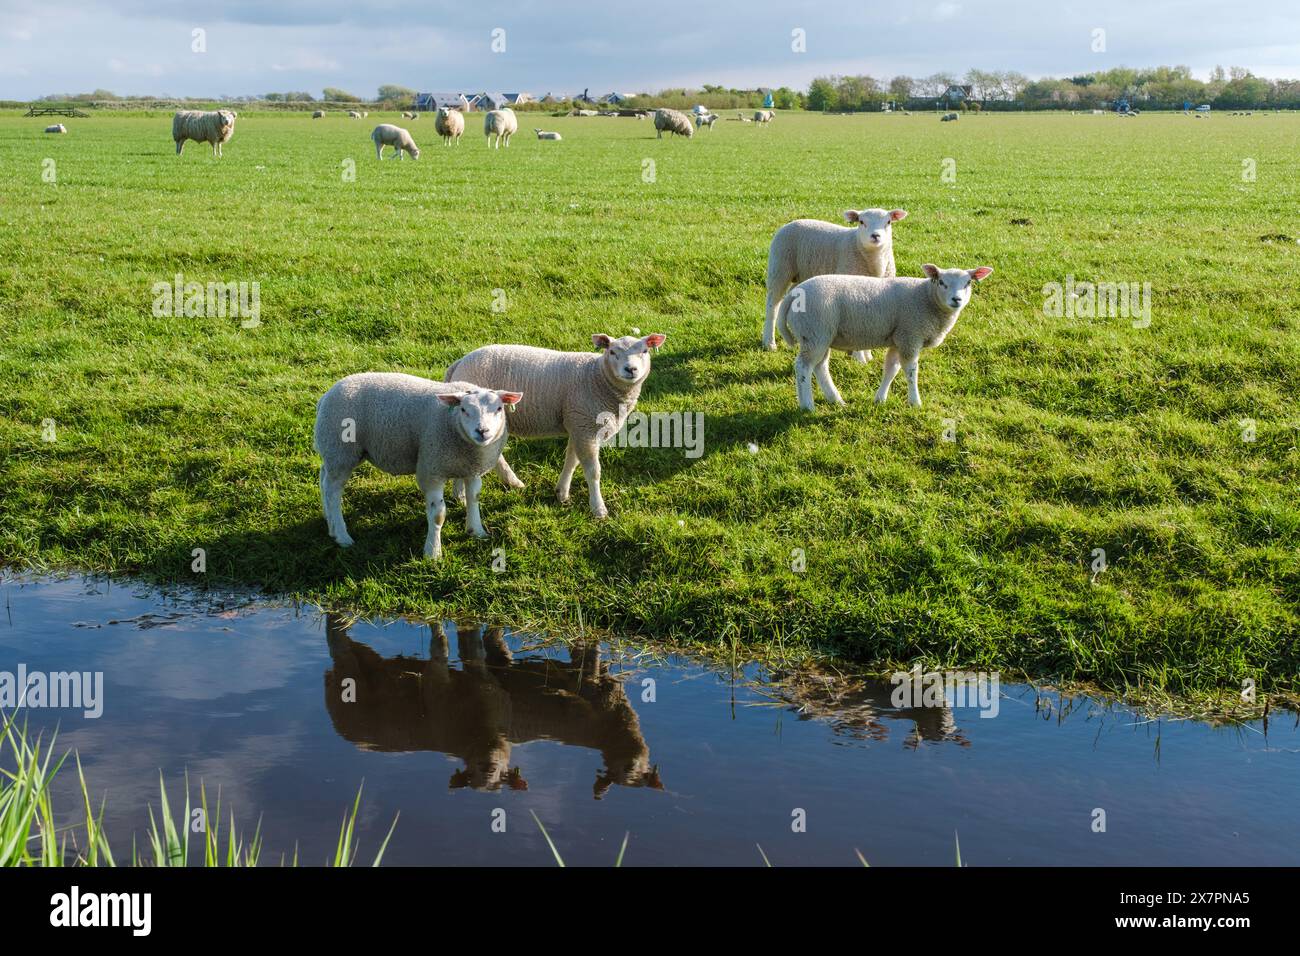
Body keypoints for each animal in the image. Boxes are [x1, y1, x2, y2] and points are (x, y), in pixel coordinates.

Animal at [313, 373, 523, 559]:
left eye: (499, 408)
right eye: (464, 410)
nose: (482, 431)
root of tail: (325, 397)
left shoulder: (471, 469)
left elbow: (474, 499)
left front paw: (476, 531)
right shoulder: (430, 469)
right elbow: (437, 514)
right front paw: (433, 553)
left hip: (335, 453)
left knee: (324, 479)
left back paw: (329, 522)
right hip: (341, 451)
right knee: (332, 492)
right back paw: (342, 535)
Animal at [445, 333, 666, 518]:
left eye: (645, 351)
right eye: (612, 352)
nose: (631, 369)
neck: (597, 377)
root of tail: (458, 363)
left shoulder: (578, 424)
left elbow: (571, 461)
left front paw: (562, 493)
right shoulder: (584, 425)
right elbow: (593, 471)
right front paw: (598, 509)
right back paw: (476, 491)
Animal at [764, 207, 909, 360]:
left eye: (888, 222)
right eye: (861, 221)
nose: (875, 236)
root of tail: (792, 222)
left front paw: (867, 355)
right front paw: (859, 358)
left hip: (803, 274)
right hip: (780, 268)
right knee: (772, 305)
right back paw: (769, 342)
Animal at [778, 264, 993, 410]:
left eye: (968, 283)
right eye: (942, 282)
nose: (956, 299)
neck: (926, 298)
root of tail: (793, 294)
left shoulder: (899, 339)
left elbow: (891, 369)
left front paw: (880, 399)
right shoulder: (910, 336)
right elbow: (911, 371)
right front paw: (915, 402)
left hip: (821, 335)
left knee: (820, 367)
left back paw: (836, 400)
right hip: (814, 332)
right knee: (803, 367)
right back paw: (808, 406)